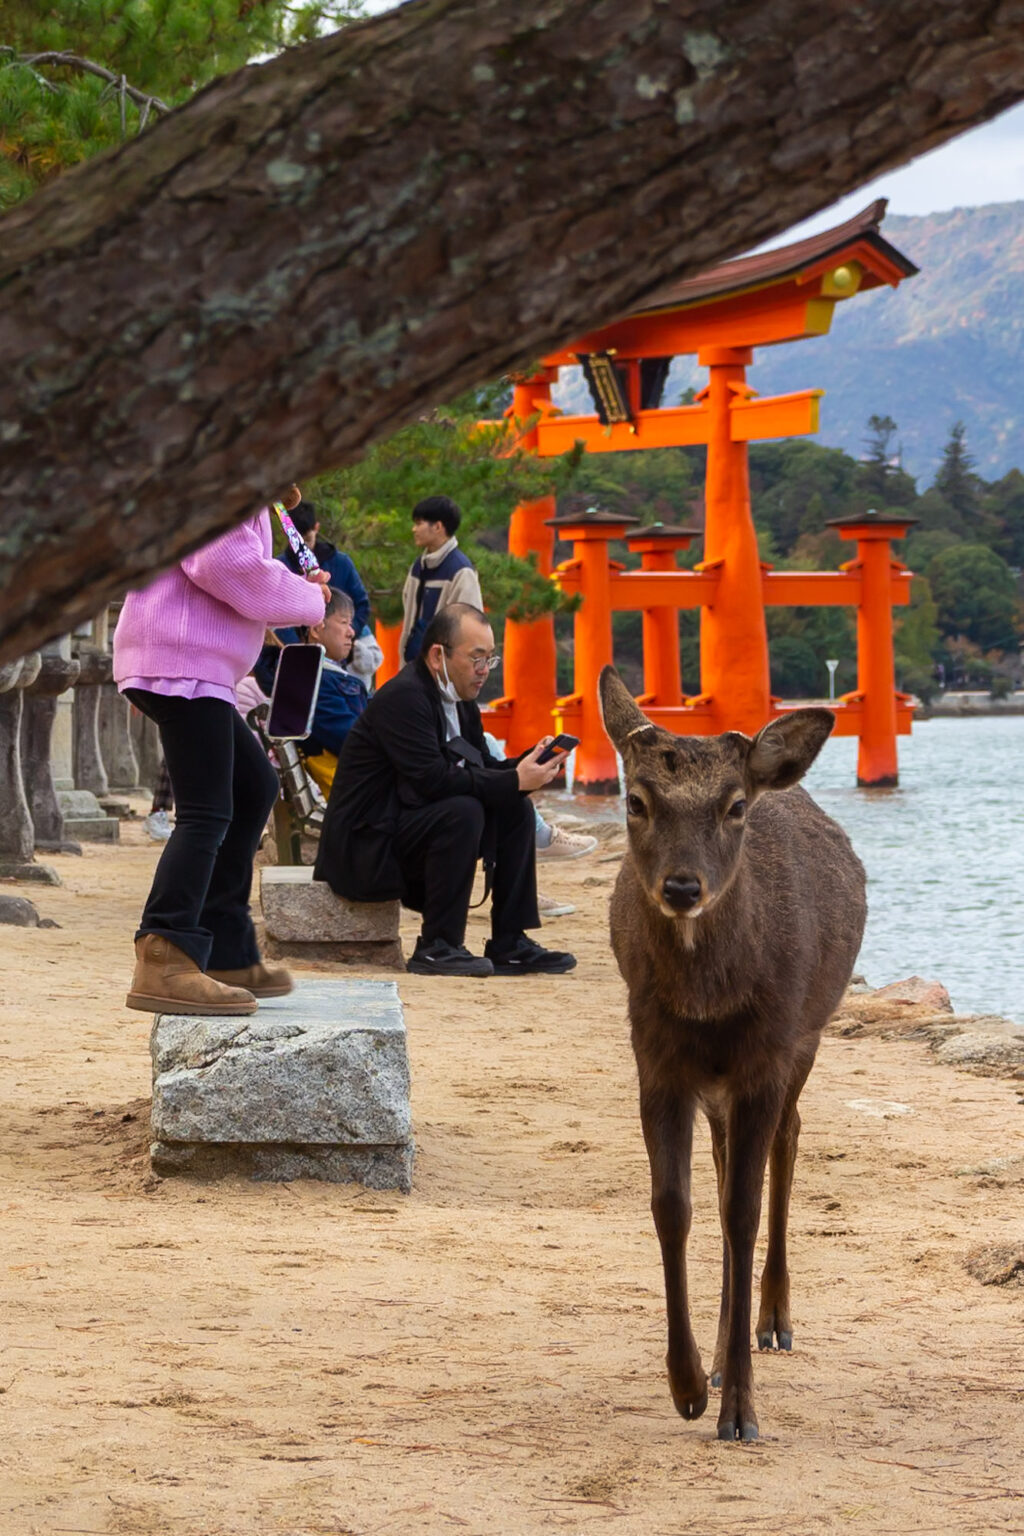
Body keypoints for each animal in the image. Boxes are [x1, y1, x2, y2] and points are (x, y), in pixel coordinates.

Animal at [599, 666, 867, 1442]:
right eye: (636, 799)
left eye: (736, 805)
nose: (683, 886)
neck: (708, 1003)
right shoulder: (655, 1058)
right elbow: (675, 1205)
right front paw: (689, 1384)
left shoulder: (766, 1056)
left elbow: (743, 1209)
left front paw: (742, 1412)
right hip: (718, 1084)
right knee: (722, 1176)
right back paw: (721, 1355)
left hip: (806, 1037)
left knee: (789, 1137)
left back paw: (773, 1320)